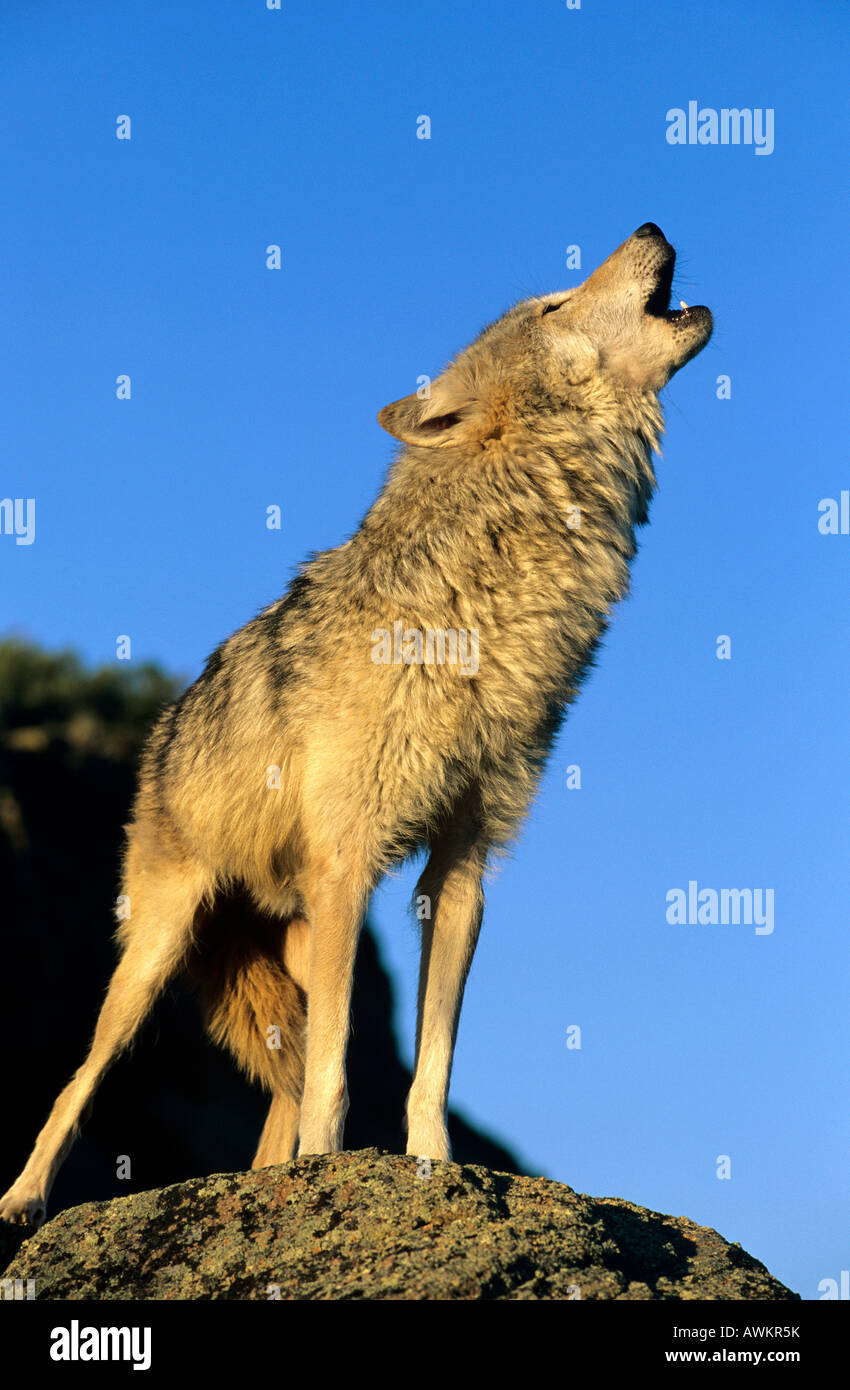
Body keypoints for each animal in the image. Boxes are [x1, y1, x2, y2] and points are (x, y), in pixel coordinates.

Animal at [0, 223, 712, 1227]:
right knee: (88, 1077)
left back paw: (269, 1180)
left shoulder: (463, 868)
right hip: (158, 952)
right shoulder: (349, 866)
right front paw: (336, 1166)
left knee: (281, 1095)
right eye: (553, 305)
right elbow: (341, 1067)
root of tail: (161, 732)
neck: (485, 596)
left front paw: (431, 1168)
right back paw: (26, 1199)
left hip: (279, 959)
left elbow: (430, 1063)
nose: (651, 229)